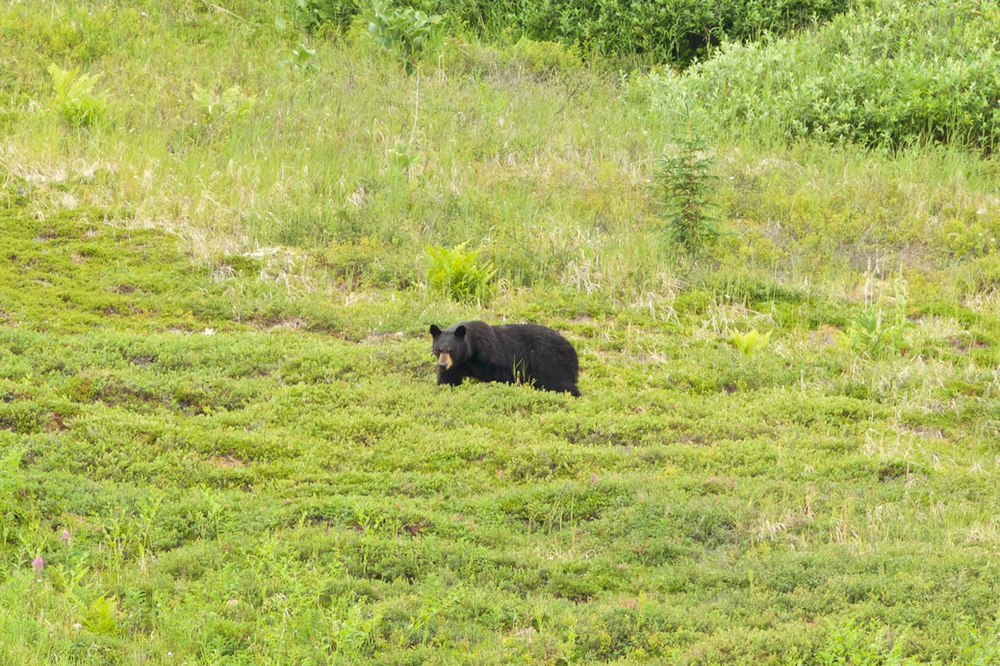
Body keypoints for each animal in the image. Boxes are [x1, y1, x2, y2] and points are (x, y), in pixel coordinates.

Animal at [429, 320, 580, 396]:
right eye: (439, 349)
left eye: (451, 350)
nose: (442, 365)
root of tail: (572, 349)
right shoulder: (456, 366)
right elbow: (448, 380)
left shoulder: (493, 357)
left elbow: (502, 376)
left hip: (549, 362)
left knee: (559, 383)